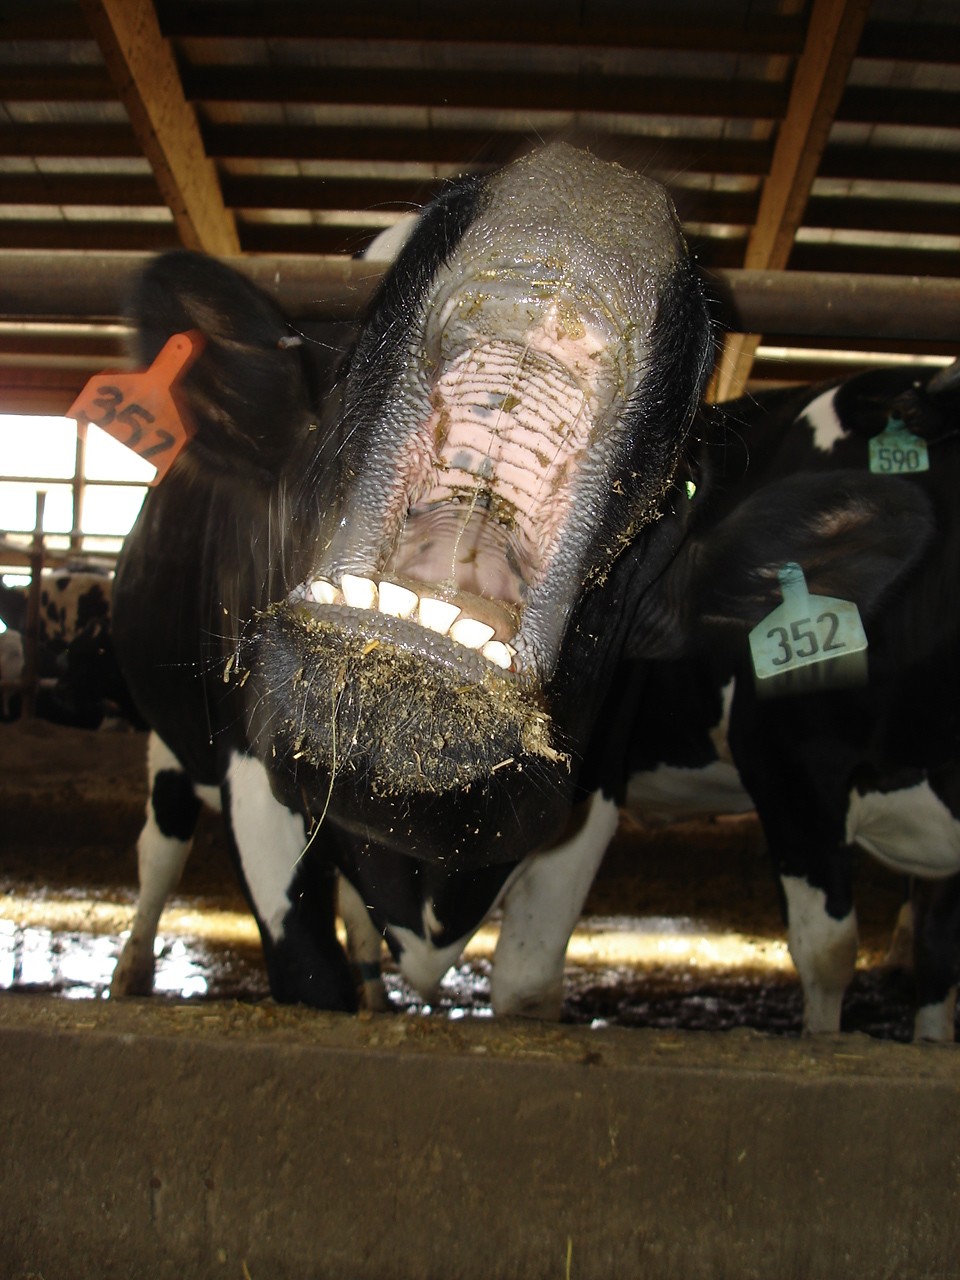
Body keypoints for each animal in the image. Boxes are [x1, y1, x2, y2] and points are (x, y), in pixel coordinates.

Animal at [107, 142, 930, 1018]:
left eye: (684, 492)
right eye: (331, 368)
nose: (598, 181)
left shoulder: (589, 799)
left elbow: (529, 985)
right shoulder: (251, 769)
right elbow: (310, 973)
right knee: (159, 844)